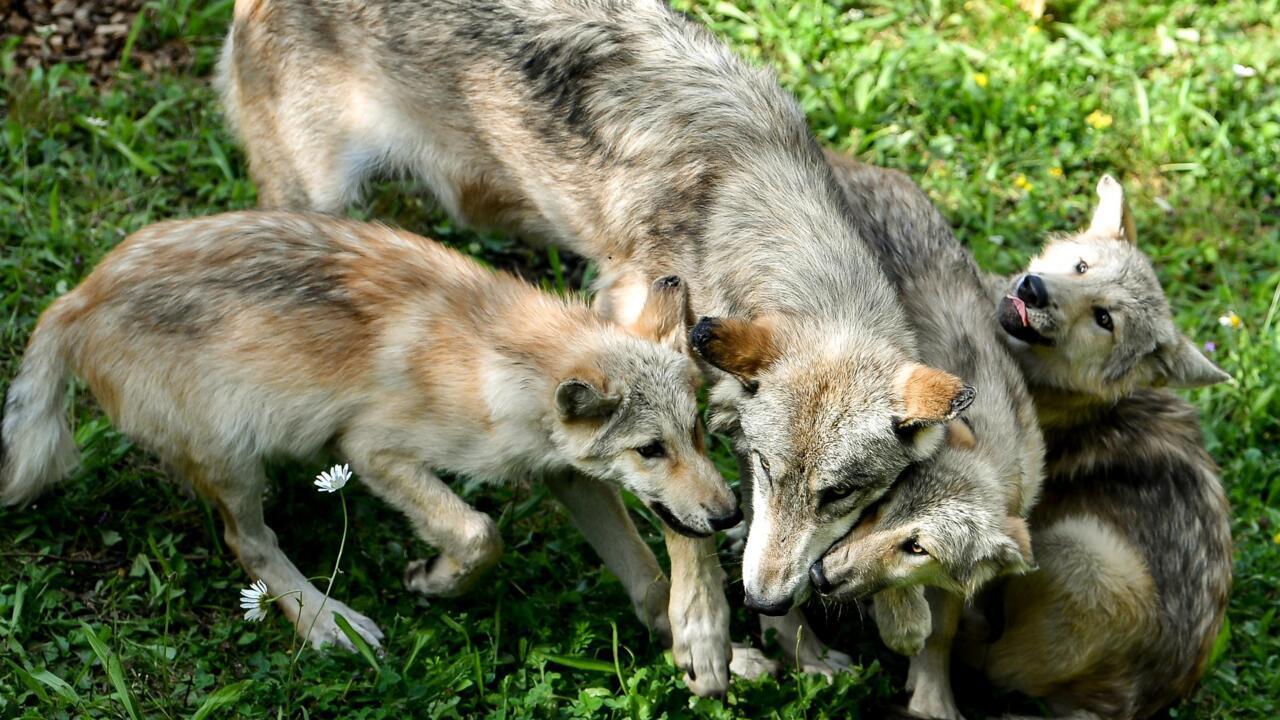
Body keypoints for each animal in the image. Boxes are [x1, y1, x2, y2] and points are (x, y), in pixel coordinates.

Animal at [0, 211, 737, 652]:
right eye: (650, 450)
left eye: (699, 435)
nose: (730, 515)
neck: (499, 366)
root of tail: (76, 298)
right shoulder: (368, 450)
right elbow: (480, 533)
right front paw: (435, 582)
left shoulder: (566, 477)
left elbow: (647, 578)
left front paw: (711, 654)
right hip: (236, 458)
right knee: (250, 543)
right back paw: (329, 623)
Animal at [219, 0, 975, 685]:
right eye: (767, 469)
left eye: (840, 495)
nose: (762, 599)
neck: (748, 204)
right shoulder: (631, 325)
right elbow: (681, 518)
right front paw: (706, 636)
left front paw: (804, 651)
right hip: (312, 213)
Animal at [810, 151, 1043, 719]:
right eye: (879, 507)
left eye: (917, 548)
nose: (820, 578)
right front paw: (902, 624)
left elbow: (945, 626)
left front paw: (933, 693)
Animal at [973, 176, 1233, 719]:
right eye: (1081, 267)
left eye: (1104, 319)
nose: (1033, 288)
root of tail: (1134, 706)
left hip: (1081, 552)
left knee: (994, 664)